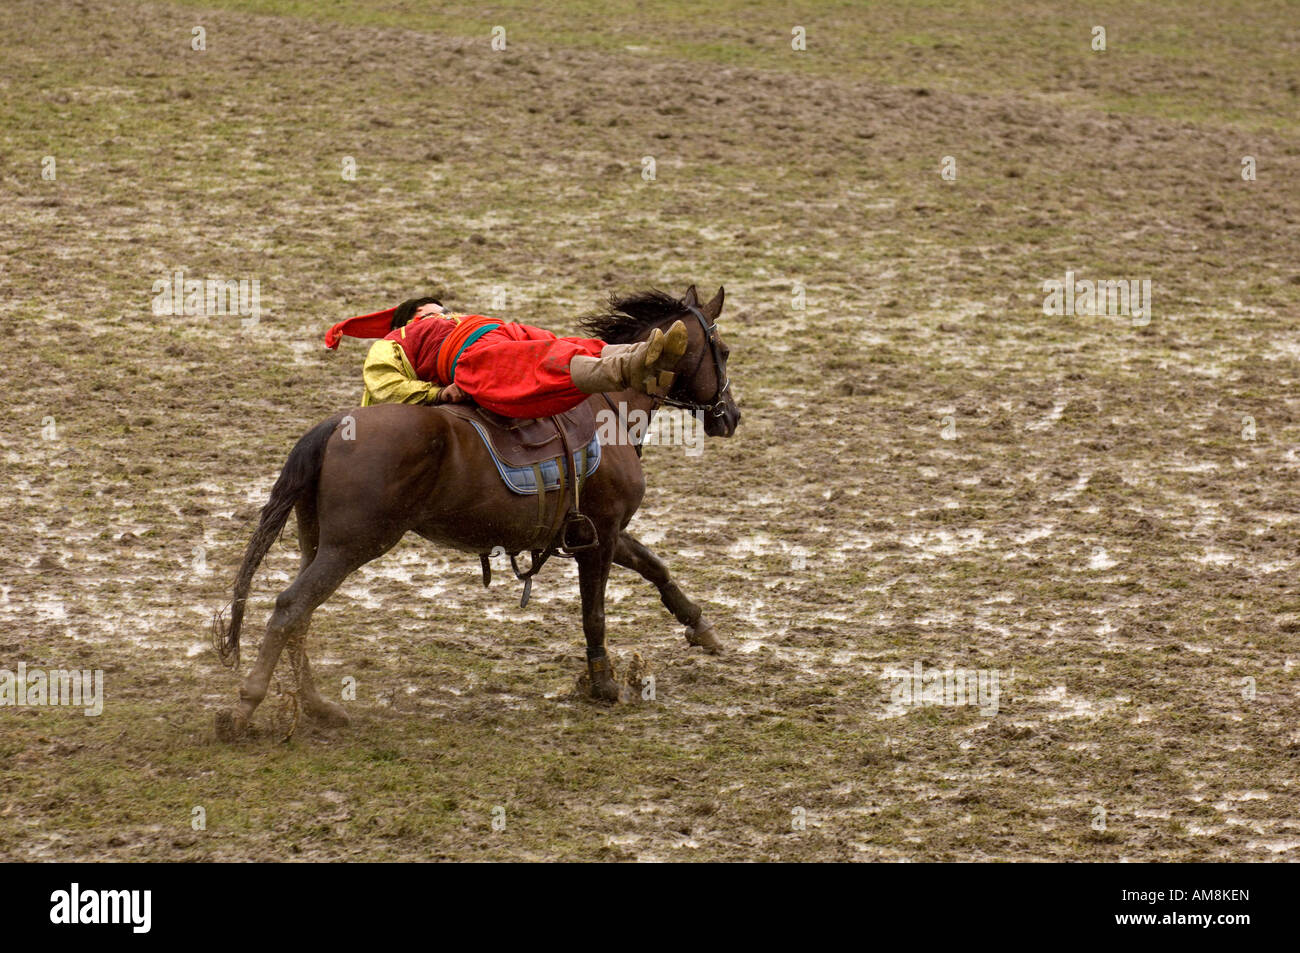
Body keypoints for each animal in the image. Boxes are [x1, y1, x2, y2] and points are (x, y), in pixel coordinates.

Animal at [211, 284, 741, 740]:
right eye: (724, 350)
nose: (731, 416)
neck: (611, 408)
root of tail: (335, 426)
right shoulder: (602, 535)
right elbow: (595, 612)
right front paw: (604, 684)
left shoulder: (594, 533)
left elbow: (655, 566)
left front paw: (701, 627)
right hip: (352, 545)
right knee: (290, 608)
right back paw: (243, 710)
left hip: (317, 542)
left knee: (299, 614)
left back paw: (319, 705)